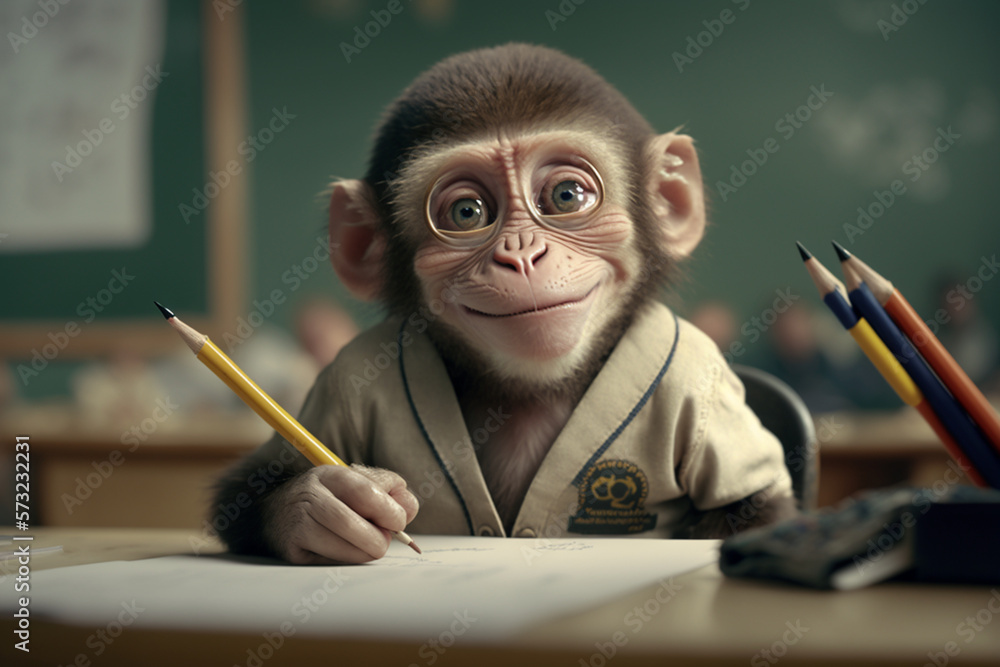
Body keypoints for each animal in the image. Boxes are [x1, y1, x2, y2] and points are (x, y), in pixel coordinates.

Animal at [211, 43, 798, 564]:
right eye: (466, 212)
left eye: (566, 196)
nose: (521, 254)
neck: (529, 393)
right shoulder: (347, 375)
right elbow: (252, 483)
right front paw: (325, 503)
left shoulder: (699, 379)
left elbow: (752, 508)